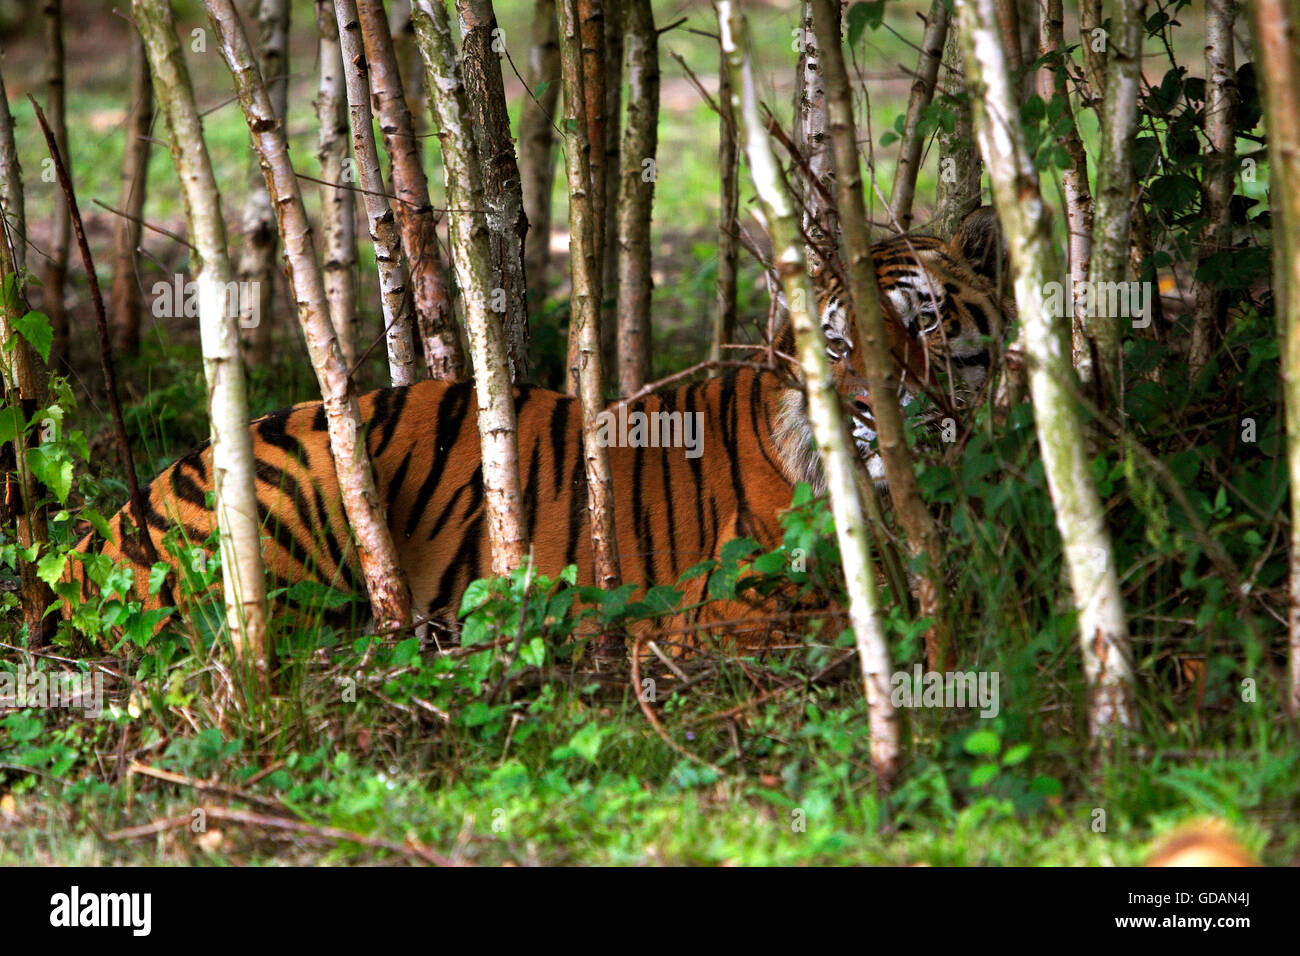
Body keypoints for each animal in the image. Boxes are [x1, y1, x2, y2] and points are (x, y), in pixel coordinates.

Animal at [64, 208, 1011, 647]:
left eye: (925, 323)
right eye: (838, 344)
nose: (868, 408)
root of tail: (95, 538)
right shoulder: (730, 605)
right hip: (311, 474)